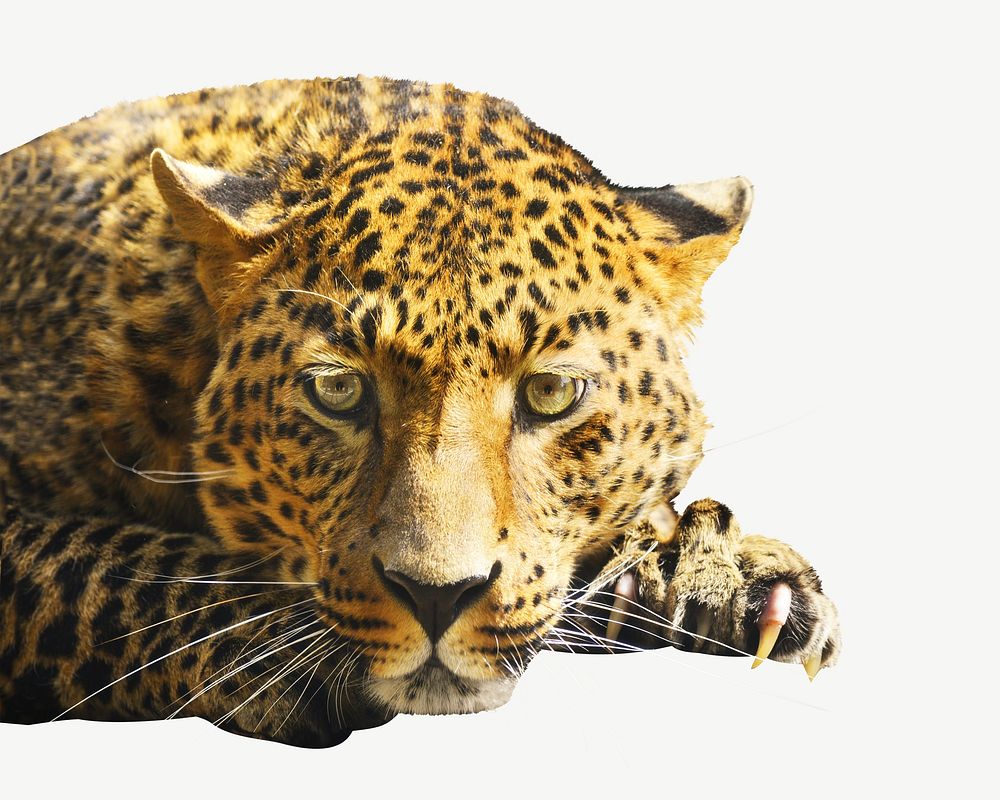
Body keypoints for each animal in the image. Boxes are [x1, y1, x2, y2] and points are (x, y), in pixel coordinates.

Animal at [0, 76, 840, 745]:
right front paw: (285, 650)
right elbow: (108, 565)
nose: (437, 596)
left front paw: (714, 574)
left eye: (551, 393)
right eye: (338, 391)